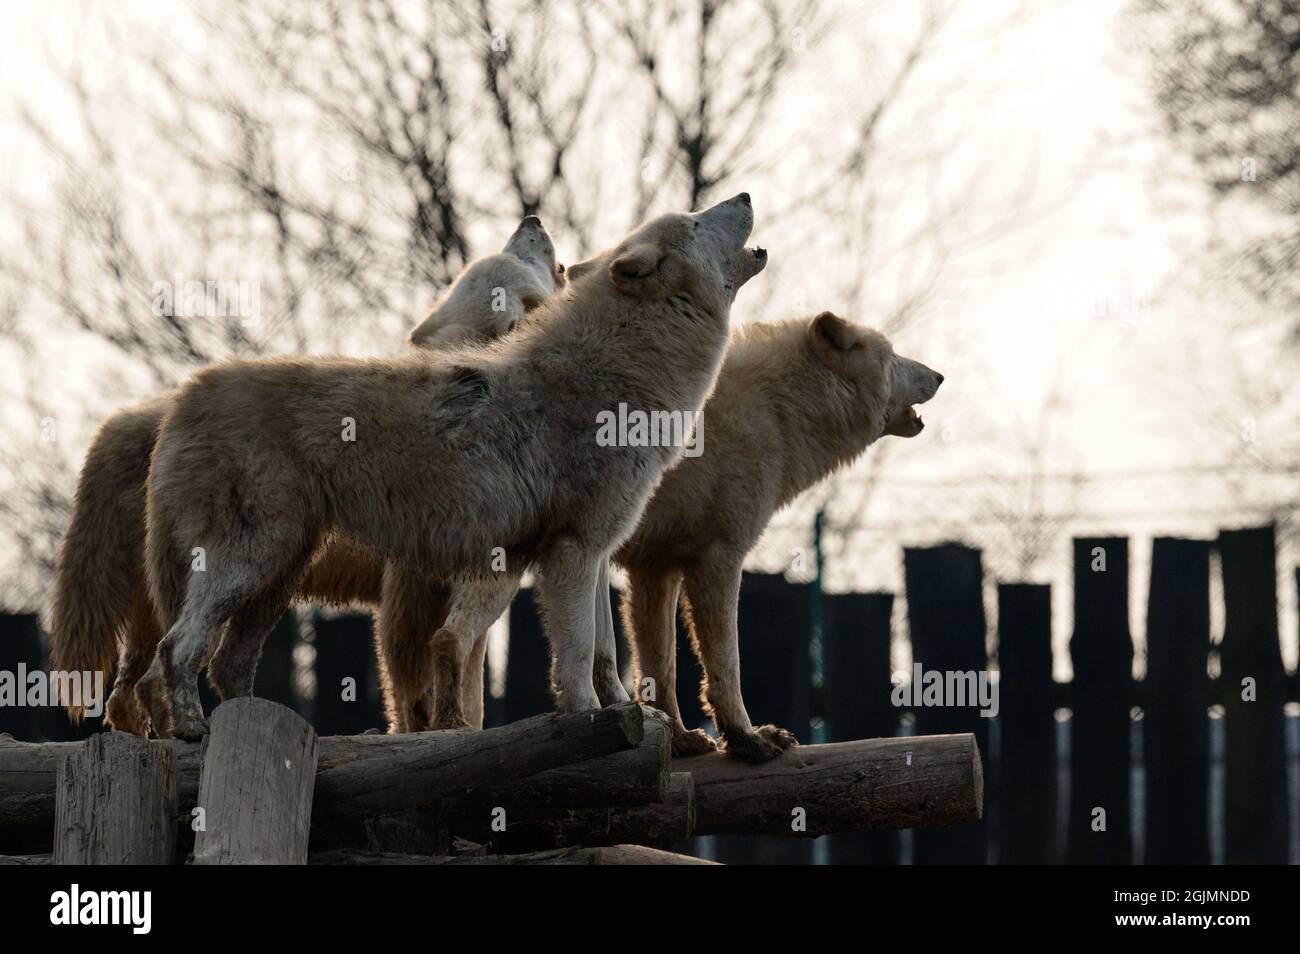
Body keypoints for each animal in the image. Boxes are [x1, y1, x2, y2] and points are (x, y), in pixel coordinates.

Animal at [136, 195, 766, 740]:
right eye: (695, 222)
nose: (744, 195)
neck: (619, 372)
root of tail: (187, 393)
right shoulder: (572, 551)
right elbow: (578, 652)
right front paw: (592, 721)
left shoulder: (590, 551)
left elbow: (605, 652)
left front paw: (624, 712)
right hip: (252, 562)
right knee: (178, 648)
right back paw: (193, 730)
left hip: (278, 573)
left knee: (223, 664)